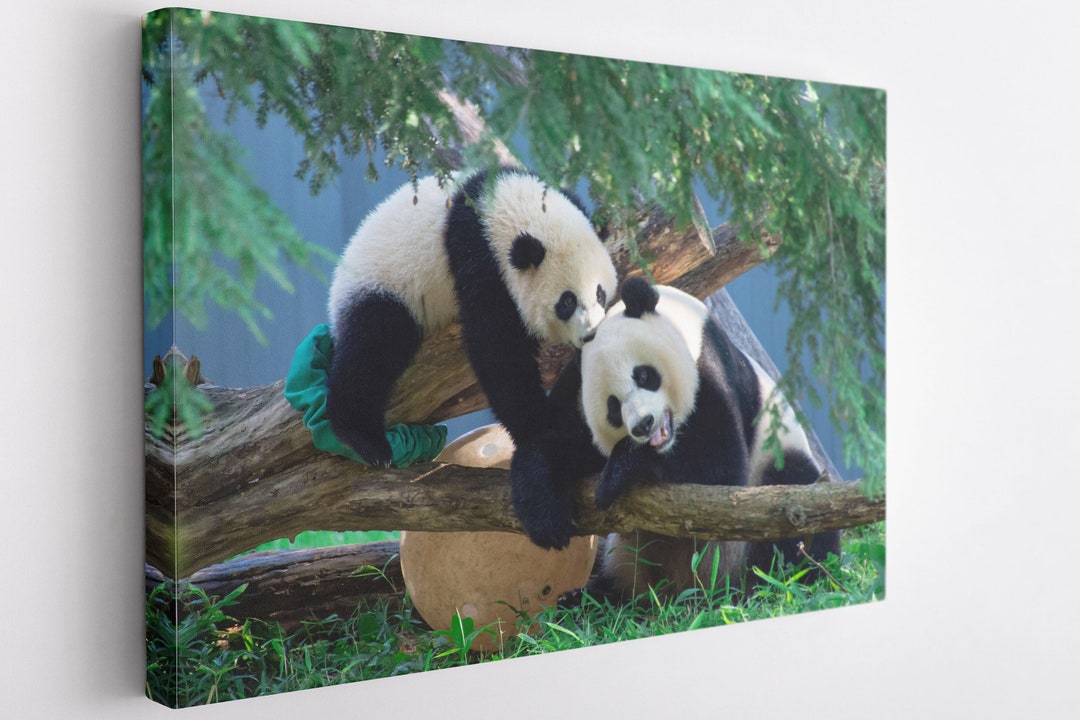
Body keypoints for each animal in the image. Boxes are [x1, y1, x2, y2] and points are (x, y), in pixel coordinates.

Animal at [326, 167, 617, 545]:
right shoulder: (477, 260)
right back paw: (365, 438)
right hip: (383, 287)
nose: (591, 334)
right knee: (371, 347)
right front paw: (539, 425)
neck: (505, 204)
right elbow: (496, 349)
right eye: (567, 301)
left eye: (599, 293)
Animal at [579, 277, 840, 598]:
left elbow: (720, 469)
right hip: (625, 557)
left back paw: (786, 581)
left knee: (798, 504)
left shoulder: (710, 367)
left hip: (773, 466)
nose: (643, 425)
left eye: (643, 376)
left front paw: (619, 472)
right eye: (613, 408)